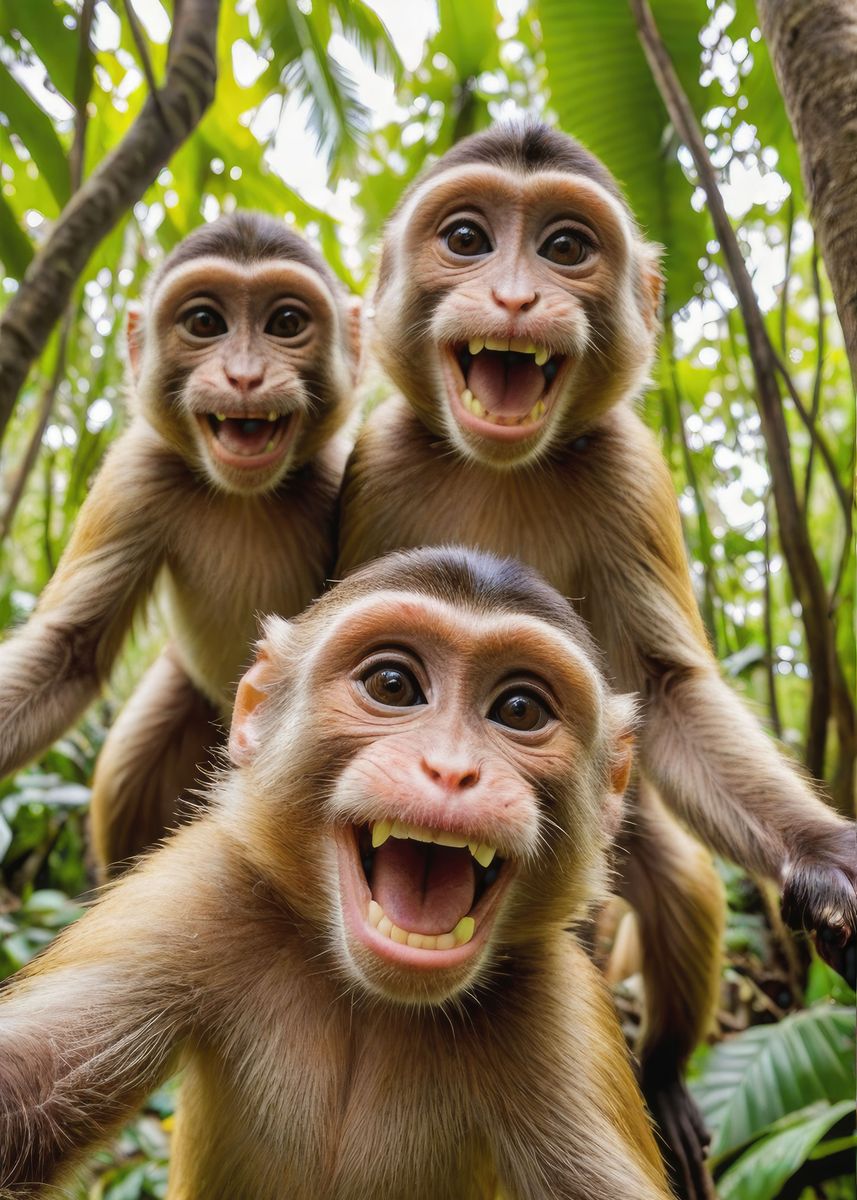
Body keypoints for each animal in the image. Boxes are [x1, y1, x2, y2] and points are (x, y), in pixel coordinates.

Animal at [0, 211, 358, 874]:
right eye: (205, 323)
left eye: (286, 324)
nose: (244, 376)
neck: (245, 496)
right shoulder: (136, 474)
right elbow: (69, 652)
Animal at [0, 546, 674, 1200]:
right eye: (393, 685)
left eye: (519, 709)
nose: (451, 769)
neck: (371, 1001)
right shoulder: (198, 896)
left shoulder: (557, 1012)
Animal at [336, 120, 857, 1199]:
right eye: (466, 237)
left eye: (564, 249)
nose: (513, 298)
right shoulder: (383, 462)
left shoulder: (629, 471)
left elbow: (664, 692)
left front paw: (824, 856)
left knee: (673, 869)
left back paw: (659, 1075)